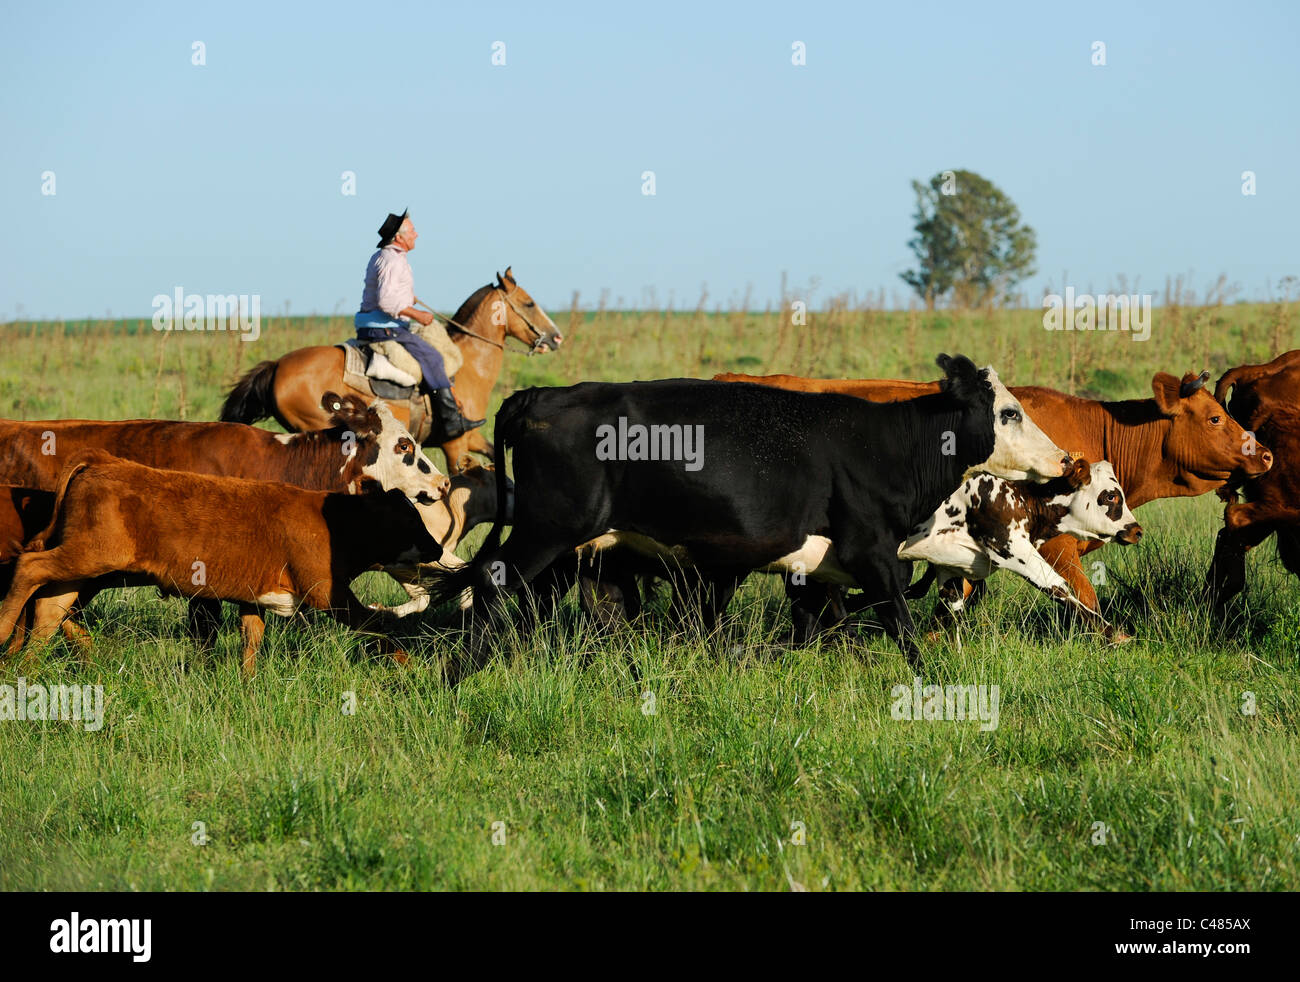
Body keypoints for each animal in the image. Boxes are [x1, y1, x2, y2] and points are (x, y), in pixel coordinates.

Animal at [0, 450, 443, 676]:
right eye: (408, 521)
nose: (437, 550)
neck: (338, 522)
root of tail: (102, 461)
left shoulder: (253, 597)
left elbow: (252, 639)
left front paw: (247, 684)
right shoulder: (328, 594)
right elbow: (376, 623)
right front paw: (407, 664)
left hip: (82, 567)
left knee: (49, 610)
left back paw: (27, 669)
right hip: (90, 555)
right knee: (30, 570)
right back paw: (6, 632)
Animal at [219, 268, 564, 473]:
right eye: (529, 303)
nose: (556, 337)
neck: (468, 366)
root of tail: (277, 365)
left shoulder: (473, 437)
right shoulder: (454, 445)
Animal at [422, 354, 1070, 678]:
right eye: (1009, 413)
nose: (1065, 458)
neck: (882, 444)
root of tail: (542, 395)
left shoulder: (815, 570)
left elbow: (820, 630)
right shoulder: (873, 553)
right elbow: (902, 627)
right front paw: (932, 686)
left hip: (582, 553)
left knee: (561, 612)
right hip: (544, 534)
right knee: (490, 584)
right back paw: (462, 673)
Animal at [898, 459, 1142, 640]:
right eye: (1110, 495)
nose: (1137, 530)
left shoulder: (949, 566)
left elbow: (951, 611)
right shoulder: (1012, 549)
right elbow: (1057, 586)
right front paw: (1115, 635)